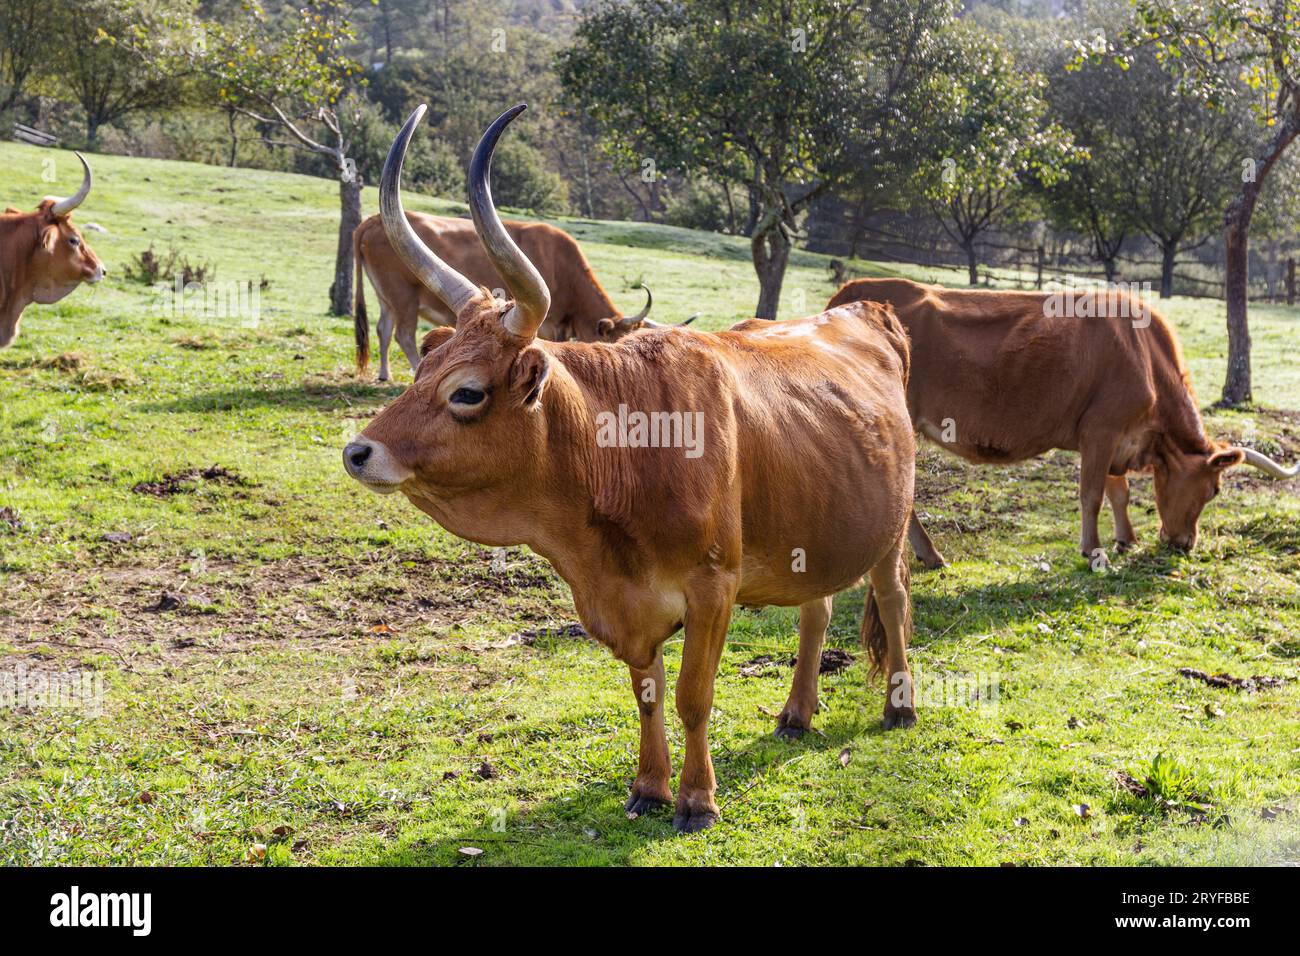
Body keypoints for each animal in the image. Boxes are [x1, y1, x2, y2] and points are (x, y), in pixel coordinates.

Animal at [353, 212, 693, 381]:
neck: (563, 265)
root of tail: (370, 221)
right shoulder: (550, 324)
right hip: (404, 297)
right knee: (403, 335)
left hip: (386, 297)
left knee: (383, 330)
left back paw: (383, 375)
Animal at [828, 277, 1299, 568]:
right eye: (1214, 490)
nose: (1183, 544)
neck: (1144, 353)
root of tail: (853, 292)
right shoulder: (1101, 431)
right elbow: (1092, 495)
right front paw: (1093, 551)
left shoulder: (1115, 439)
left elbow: (1119, 492)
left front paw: (1126, 538)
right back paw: (927, 553)